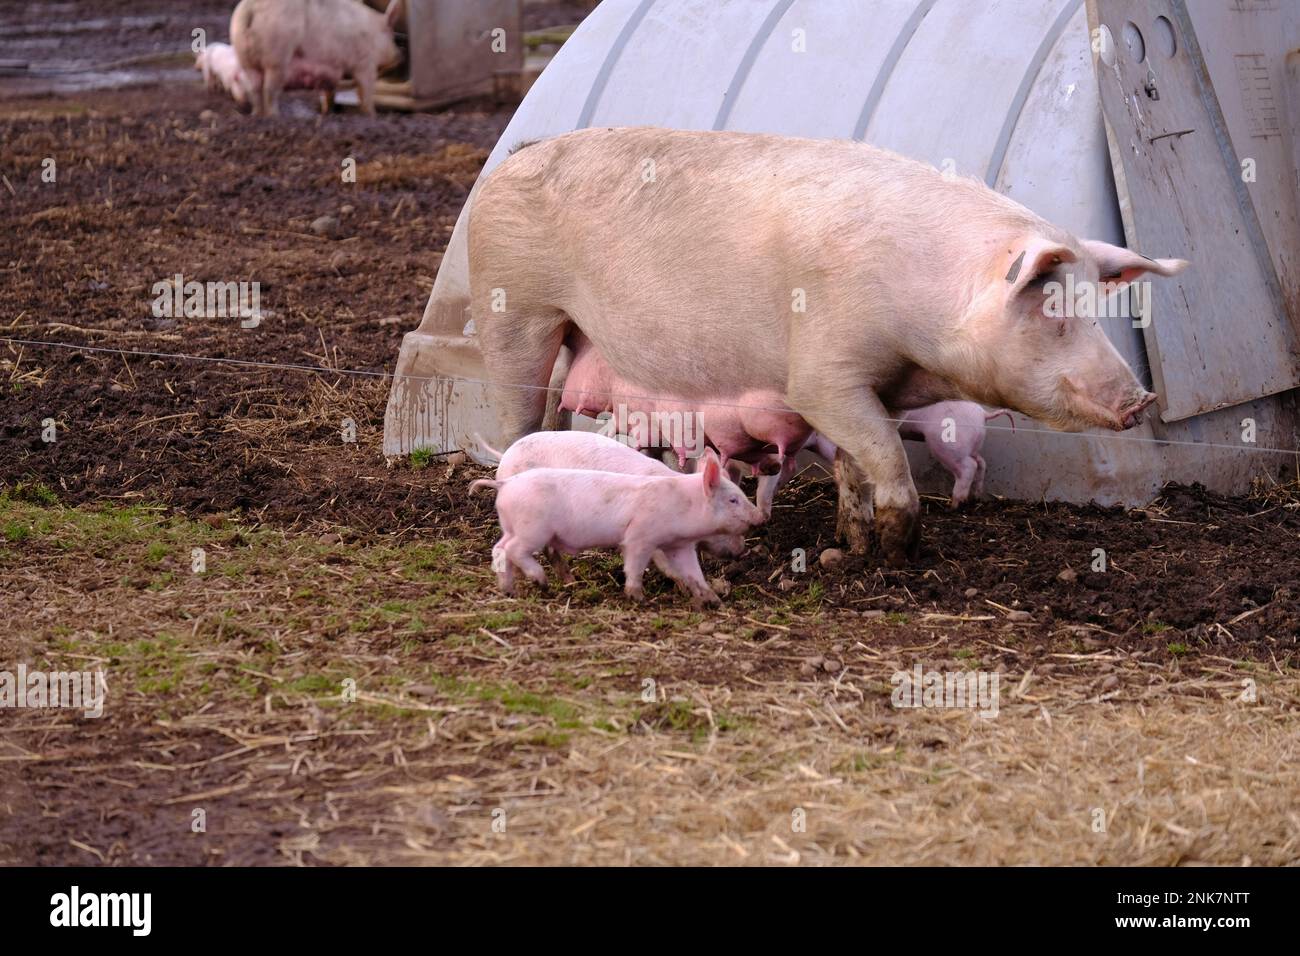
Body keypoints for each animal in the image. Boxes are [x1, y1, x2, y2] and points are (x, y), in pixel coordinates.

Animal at [230, 0, 403, 117]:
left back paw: (257, 114)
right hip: (277, 57)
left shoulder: (332, 69)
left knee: (255, 88)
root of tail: (251, 8)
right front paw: (372, 115)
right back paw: (274, 115)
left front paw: (328, 112)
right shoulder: (365, 63)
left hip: (244, 56)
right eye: (393, 38)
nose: (400, 55)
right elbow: (365, 92)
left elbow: (329, 91)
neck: (375, 35)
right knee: (270, 89)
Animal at [468, 127, 1188, 565]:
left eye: (1096, 310)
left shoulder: (879, 386)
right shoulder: (823, 373)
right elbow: (888, 462)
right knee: (517, 418)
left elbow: (854, 466)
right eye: (1053, 311)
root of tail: (510, 160)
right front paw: (896, 557)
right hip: (514, 309)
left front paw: (849, 546)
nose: (1140, 399)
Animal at [469, 450, 764, 607]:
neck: (682, 503)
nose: (759, 518)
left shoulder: (679, 545)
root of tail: (506, 484)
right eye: (733, 499)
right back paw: (540, 582)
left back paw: (510, 590)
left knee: (499, 549)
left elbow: (693, 572)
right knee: (514, 550)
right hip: (532, 529)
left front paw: (712, 600)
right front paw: (638, 597)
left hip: (513, 527)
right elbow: (635, 565)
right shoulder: (640, 536)